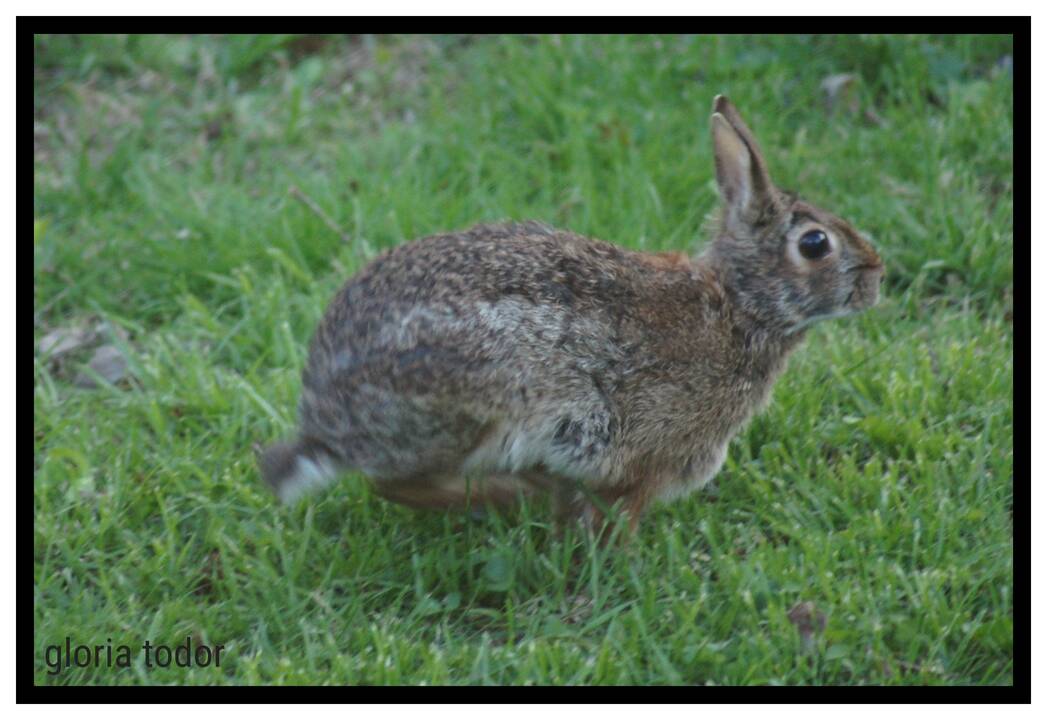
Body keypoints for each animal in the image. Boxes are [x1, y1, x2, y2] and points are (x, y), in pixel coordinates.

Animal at [258, 95, 884, 531]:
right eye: (815, 244)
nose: (877, 276)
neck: (740, 305)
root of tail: (325, 423)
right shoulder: (647, 456)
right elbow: (618, 517)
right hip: (473, 407)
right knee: (396, 483)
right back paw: (513, 495)